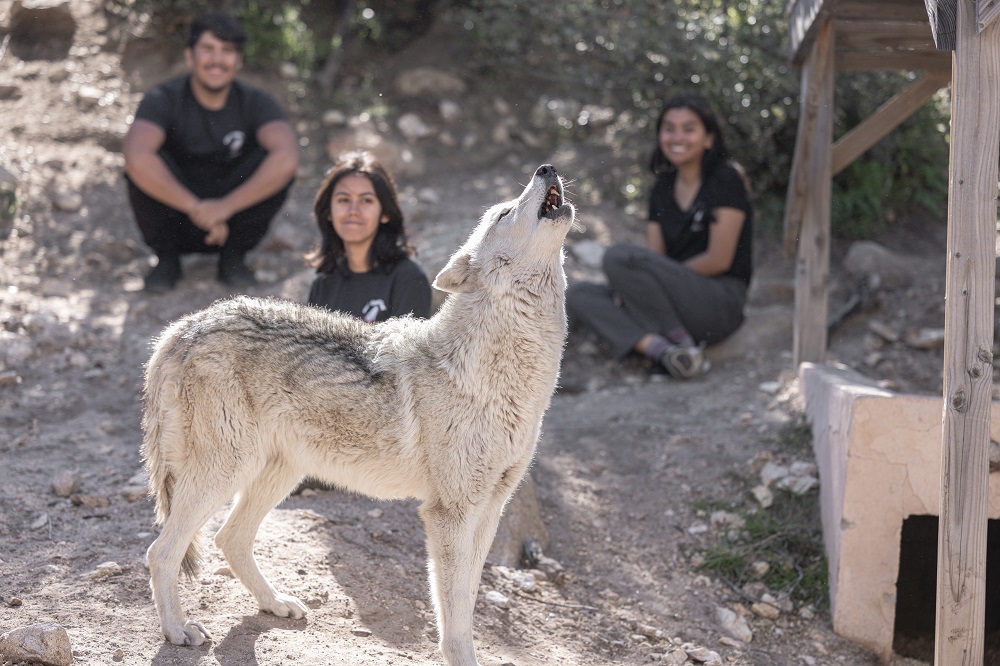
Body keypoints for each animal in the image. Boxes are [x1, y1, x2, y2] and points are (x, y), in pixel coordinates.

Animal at [141, 164, 574, 666]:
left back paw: (274, 604)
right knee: (162, 551)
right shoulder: (450, 513)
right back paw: (177, 630)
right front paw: (459, 656)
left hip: (277, 473)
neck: (499, 372)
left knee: (229, 539)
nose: (546, 168)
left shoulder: (490, 509)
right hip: (224, 474)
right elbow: (452, 607)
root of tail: (183, 327)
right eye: (505, 212)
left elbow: (467, 598)